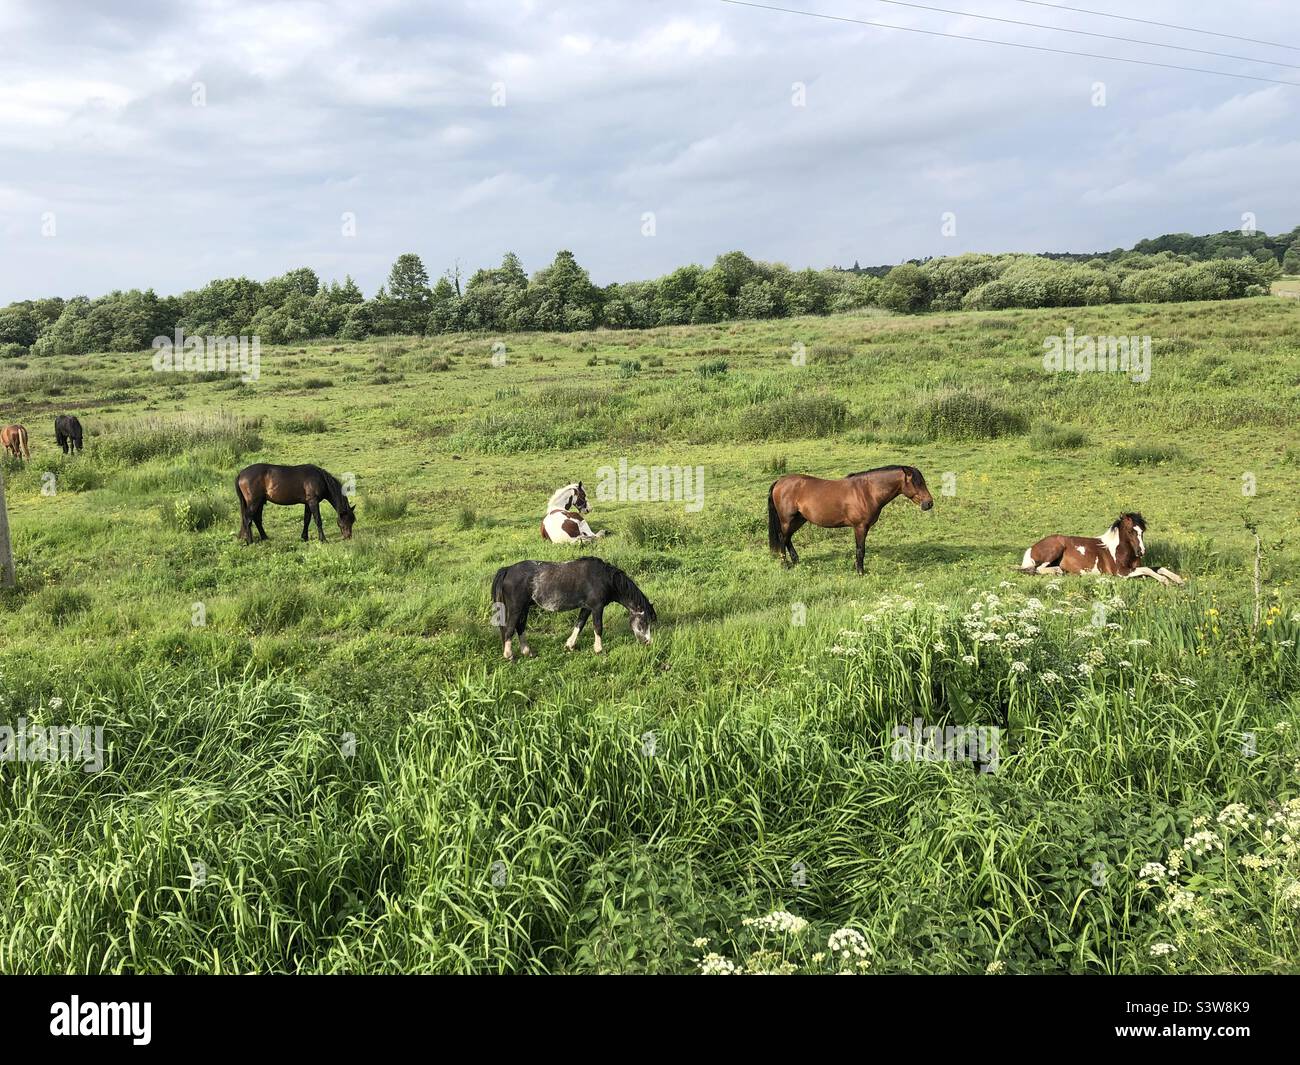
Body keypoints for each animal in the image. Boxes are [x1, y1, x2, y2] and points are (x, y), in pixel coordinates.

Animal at [490, 557, 655, 659]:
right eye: (643, 622)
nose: (648, 642)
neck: (604, 578)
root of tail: (508, 569)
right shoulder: (597, 607)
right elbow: (598, 627)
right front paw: (599, 649)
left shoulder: (587, 608)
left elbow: (579, 624)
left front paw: (570, 645)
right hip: (516, 608)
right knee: (510, 628)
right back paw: (509, 655)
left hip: (524, 608)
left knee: (520, 627)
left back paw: (527, 651)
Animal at [768, 465, 935, 573]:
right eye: (917, 483)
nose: (929, 503)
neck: (867, 491)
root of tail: (780, 481)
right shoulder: (860, 527)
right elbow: (860, 550)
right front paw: (860, 572)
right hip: (787, 520)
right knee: (783, 538)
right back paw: (785, 564)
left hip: (798, 519)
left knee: (788, 538)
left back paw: (796, 560)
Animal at [1018, 512, 1185, 585]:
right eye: (1130, 531)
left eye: (1142, 531)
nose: (1141, 552)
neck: (1121, 551)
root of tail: (1031, 548)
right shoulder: (1121, 572)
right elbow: (1148, 570)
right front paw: (1165, 581)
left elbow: (1158, 567)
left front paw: (1178, 579)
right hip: (1055, 549)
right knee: (1038, 568)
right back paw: (1059, 571)